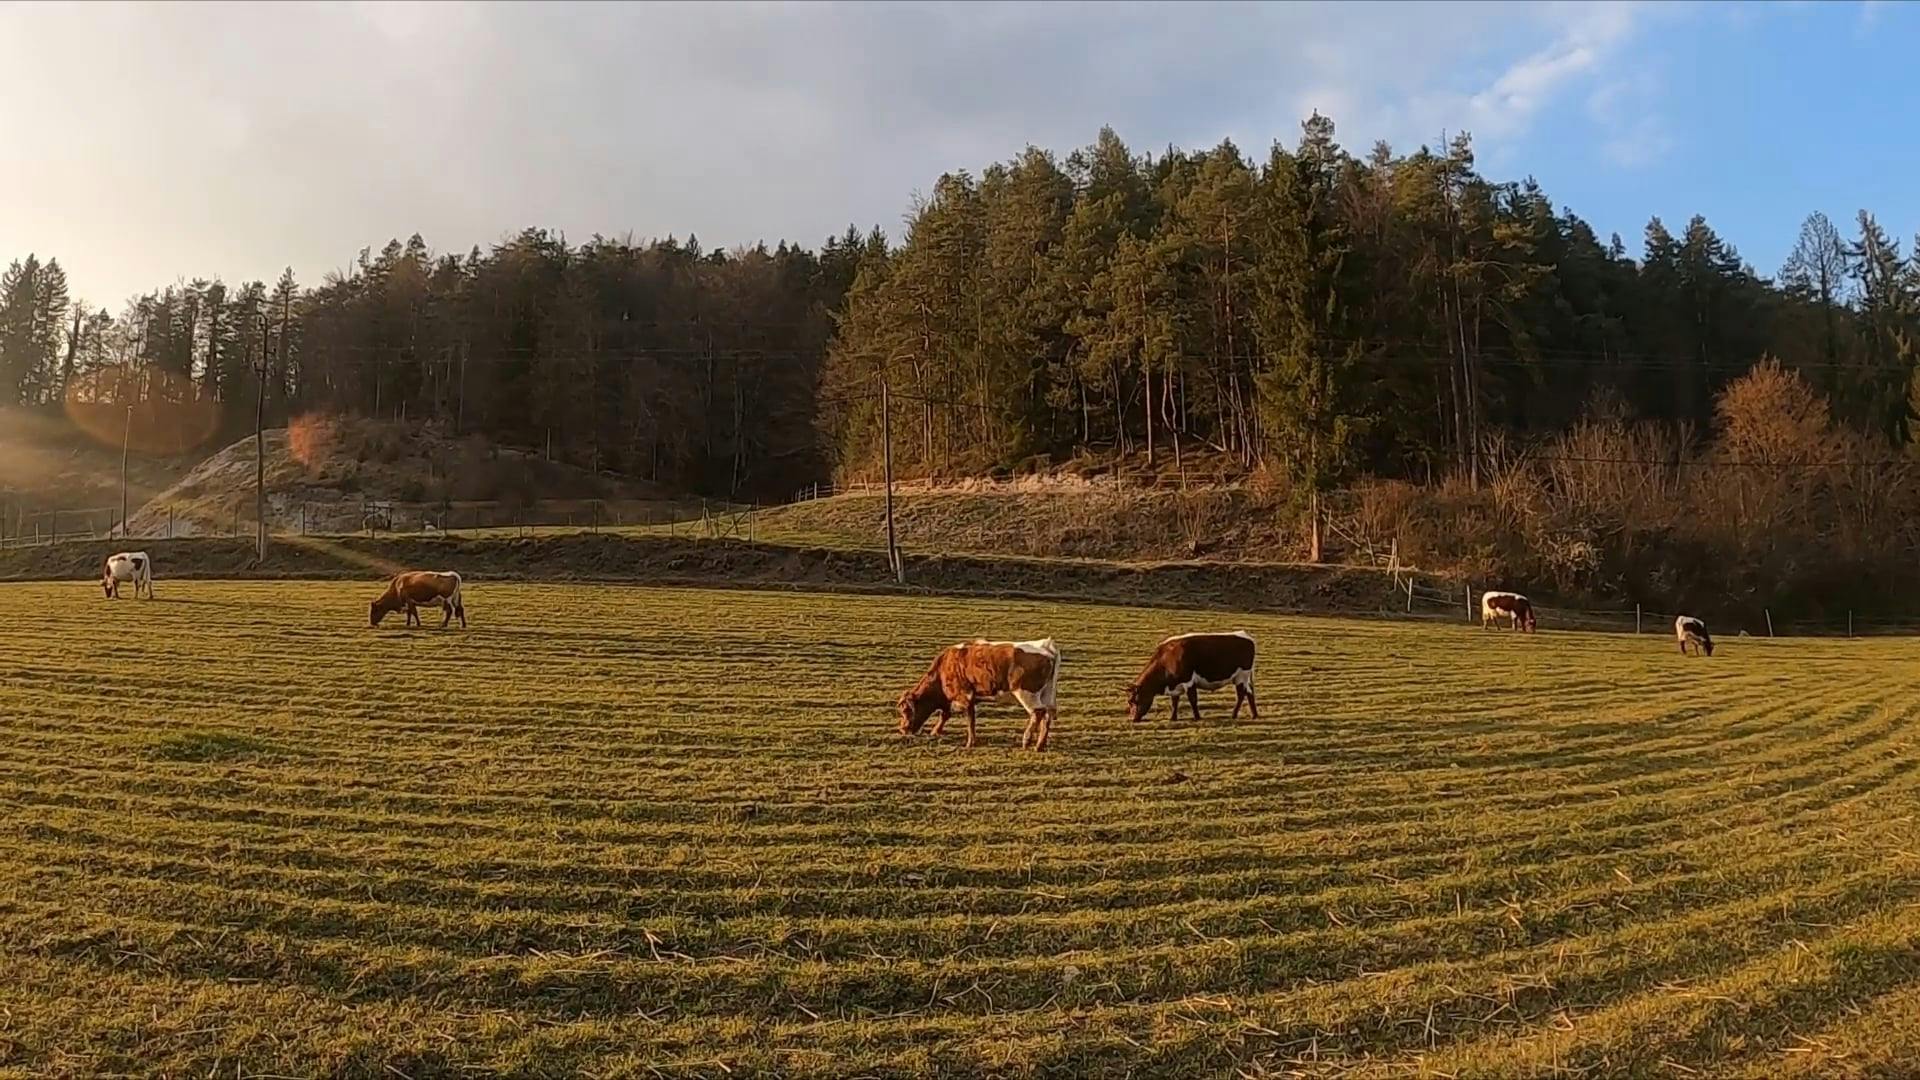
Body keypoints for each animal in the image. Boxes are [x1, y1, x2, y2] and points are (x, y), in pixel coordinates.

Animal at [897, 638, 1060, 750]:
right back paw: (1040, 745)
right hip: (1047, 694)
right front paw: (936, 731)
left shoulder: (965, 696)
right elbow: (945, 714)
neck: (944, 667)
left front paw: (970, 743)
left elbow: (969, 720)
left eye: (906, 710)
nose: (903, 729)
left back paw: (1026, 741)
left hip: (1026, 693)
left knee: (1038, 712)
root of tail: (1045, 646)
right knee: (1048, 714)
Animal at [1126, 631, 1258, 724]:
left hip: (1241, 676)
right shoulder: (1176, 684)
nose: (1132, 719)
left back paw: (1234, 715)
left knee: (1241, 695)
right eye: (1129, 701)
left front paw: (1197, 717)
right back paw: (1254, 715)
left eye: (1133, 700)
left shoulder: (1188, 680)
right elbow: (1174, 701)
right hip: (1245, 678)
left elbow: (1192, 699)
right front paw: (1173, 717)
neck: (1166, 659)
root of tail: (1246, 636)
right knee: (1250, 693)